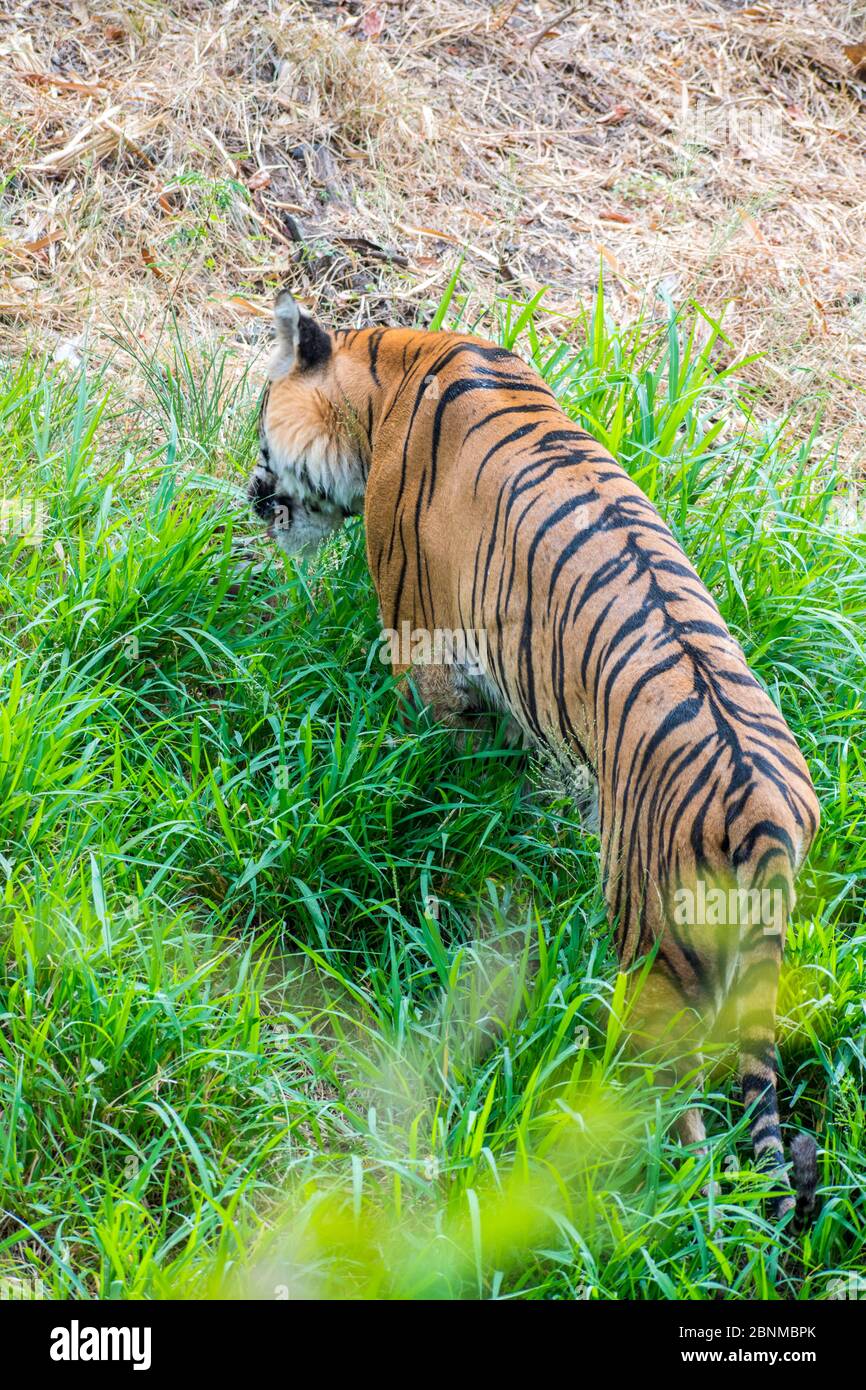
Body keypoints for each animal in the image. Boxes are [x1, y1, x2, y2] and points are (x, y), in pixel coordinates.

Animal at [247, 290, 821, 1225]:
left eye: (262, 424)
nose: (253, 494)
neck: (386, 370)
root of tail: (766, 809)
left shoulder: (421, 646)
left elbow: (439, 767)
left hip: (654, 941)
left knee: (674, 1105)